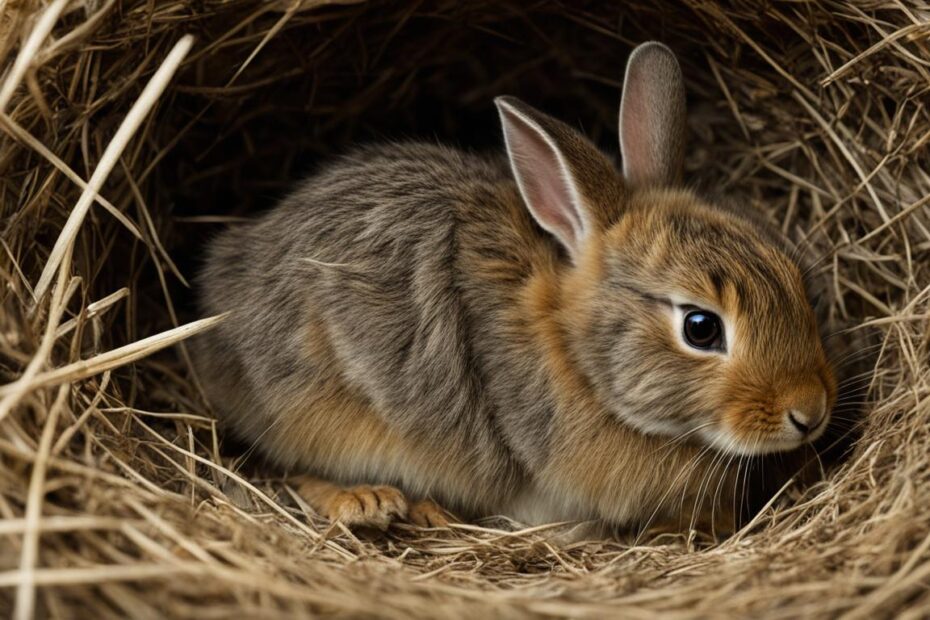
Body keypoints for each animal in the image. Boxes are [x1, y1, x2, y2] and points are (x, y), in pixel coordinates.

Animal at [193, 41, 837, 534]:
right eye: (701, 328)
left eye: (794, 277)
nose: (811, 413)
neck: (576, 358)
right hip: (320, 411)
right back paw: (374, 503)